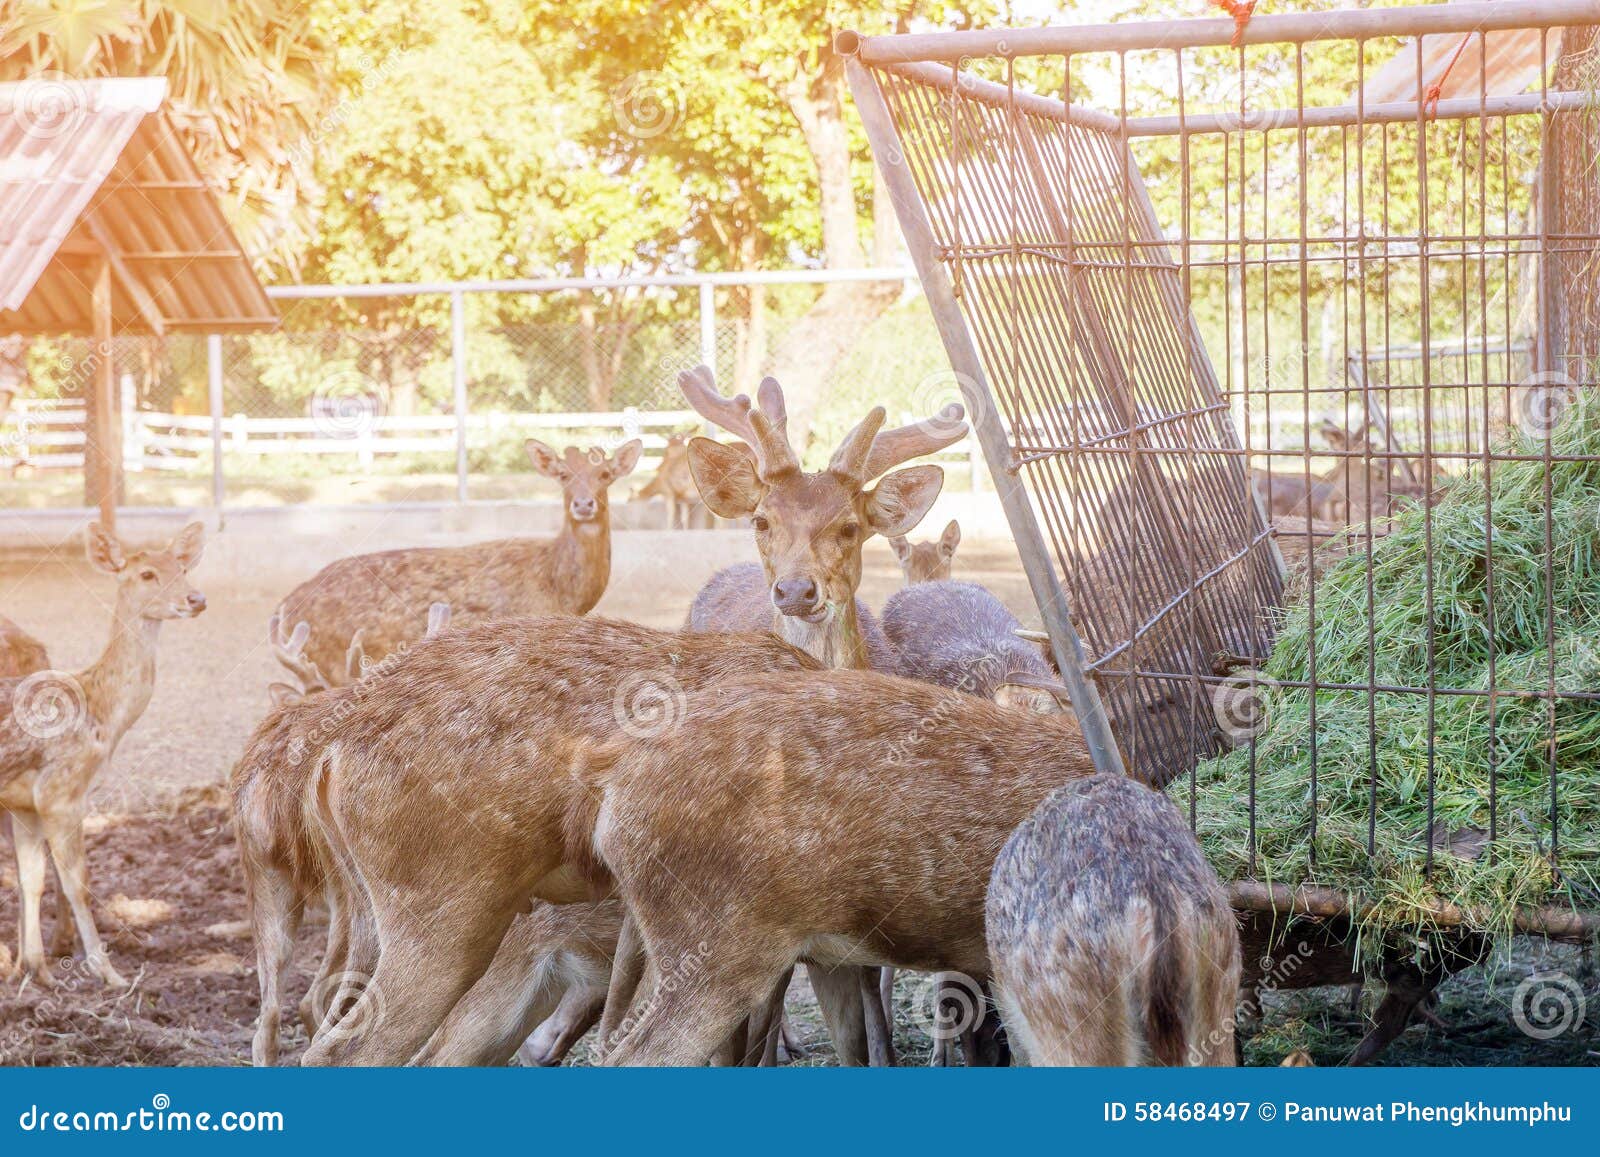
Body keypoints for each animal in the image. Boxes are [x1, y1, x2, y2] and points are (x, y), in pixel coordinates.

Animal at [1, 521, 206, 987]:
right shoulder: (62, 793)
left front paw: (36, 971)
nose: (196, 599)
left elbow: (31, 878)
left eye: (183, 567)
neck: (103, 716)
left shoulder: (26, 803)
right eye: (147, 573)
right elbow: (78, 880)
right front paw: (108, 971)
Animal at [268, 439, 640, 694]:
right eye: (563, 475)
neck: (557, 586)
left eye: (605, 474)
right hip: (332, 659)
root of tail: (286, 603)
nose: (583, 504)